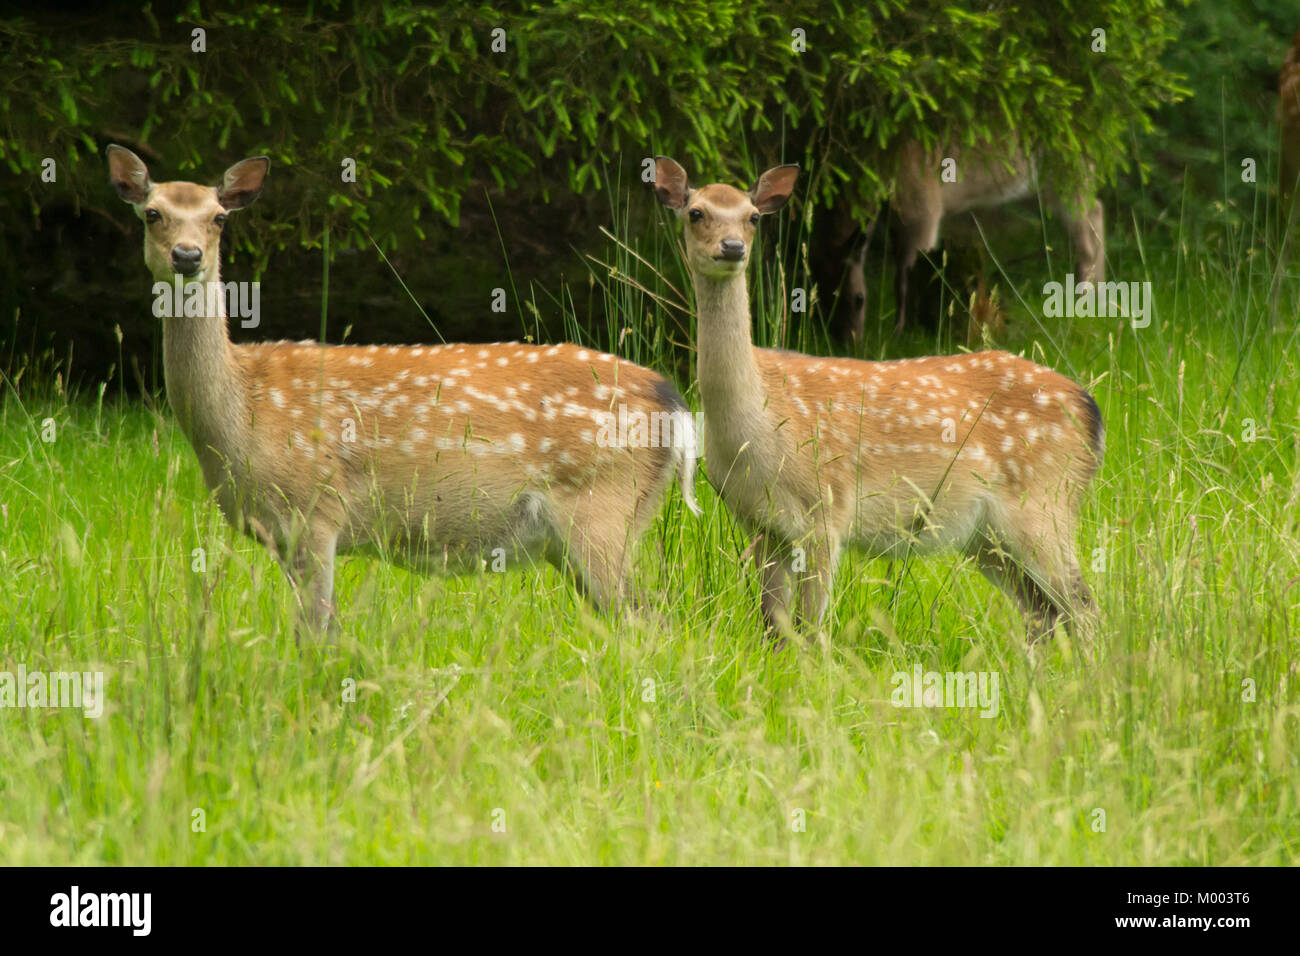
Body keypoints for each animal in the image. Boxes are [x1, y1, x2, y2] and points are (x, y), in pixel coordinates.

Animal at [107, 144, 699, 633]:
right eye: (152, 212)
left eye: (219, 218)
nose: (187, 256)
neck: (239, 415)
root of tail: (674, 403)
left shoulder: (314, 510)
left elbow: (317, 633)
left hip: (603, 507)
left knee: (653, 621)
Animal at [653, 156, 1103, 643]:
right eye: (696, 212)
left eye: (753, 217)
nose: (733, 247)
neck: (756, 430)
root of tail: (1091, 412)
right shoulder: (758, 523)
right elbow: (773, 627)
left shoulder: (826, 508)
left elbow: (809, 628)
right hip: (985, 536)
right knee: (1043, 613)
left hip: (1045, 505)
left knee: (1084, 607)